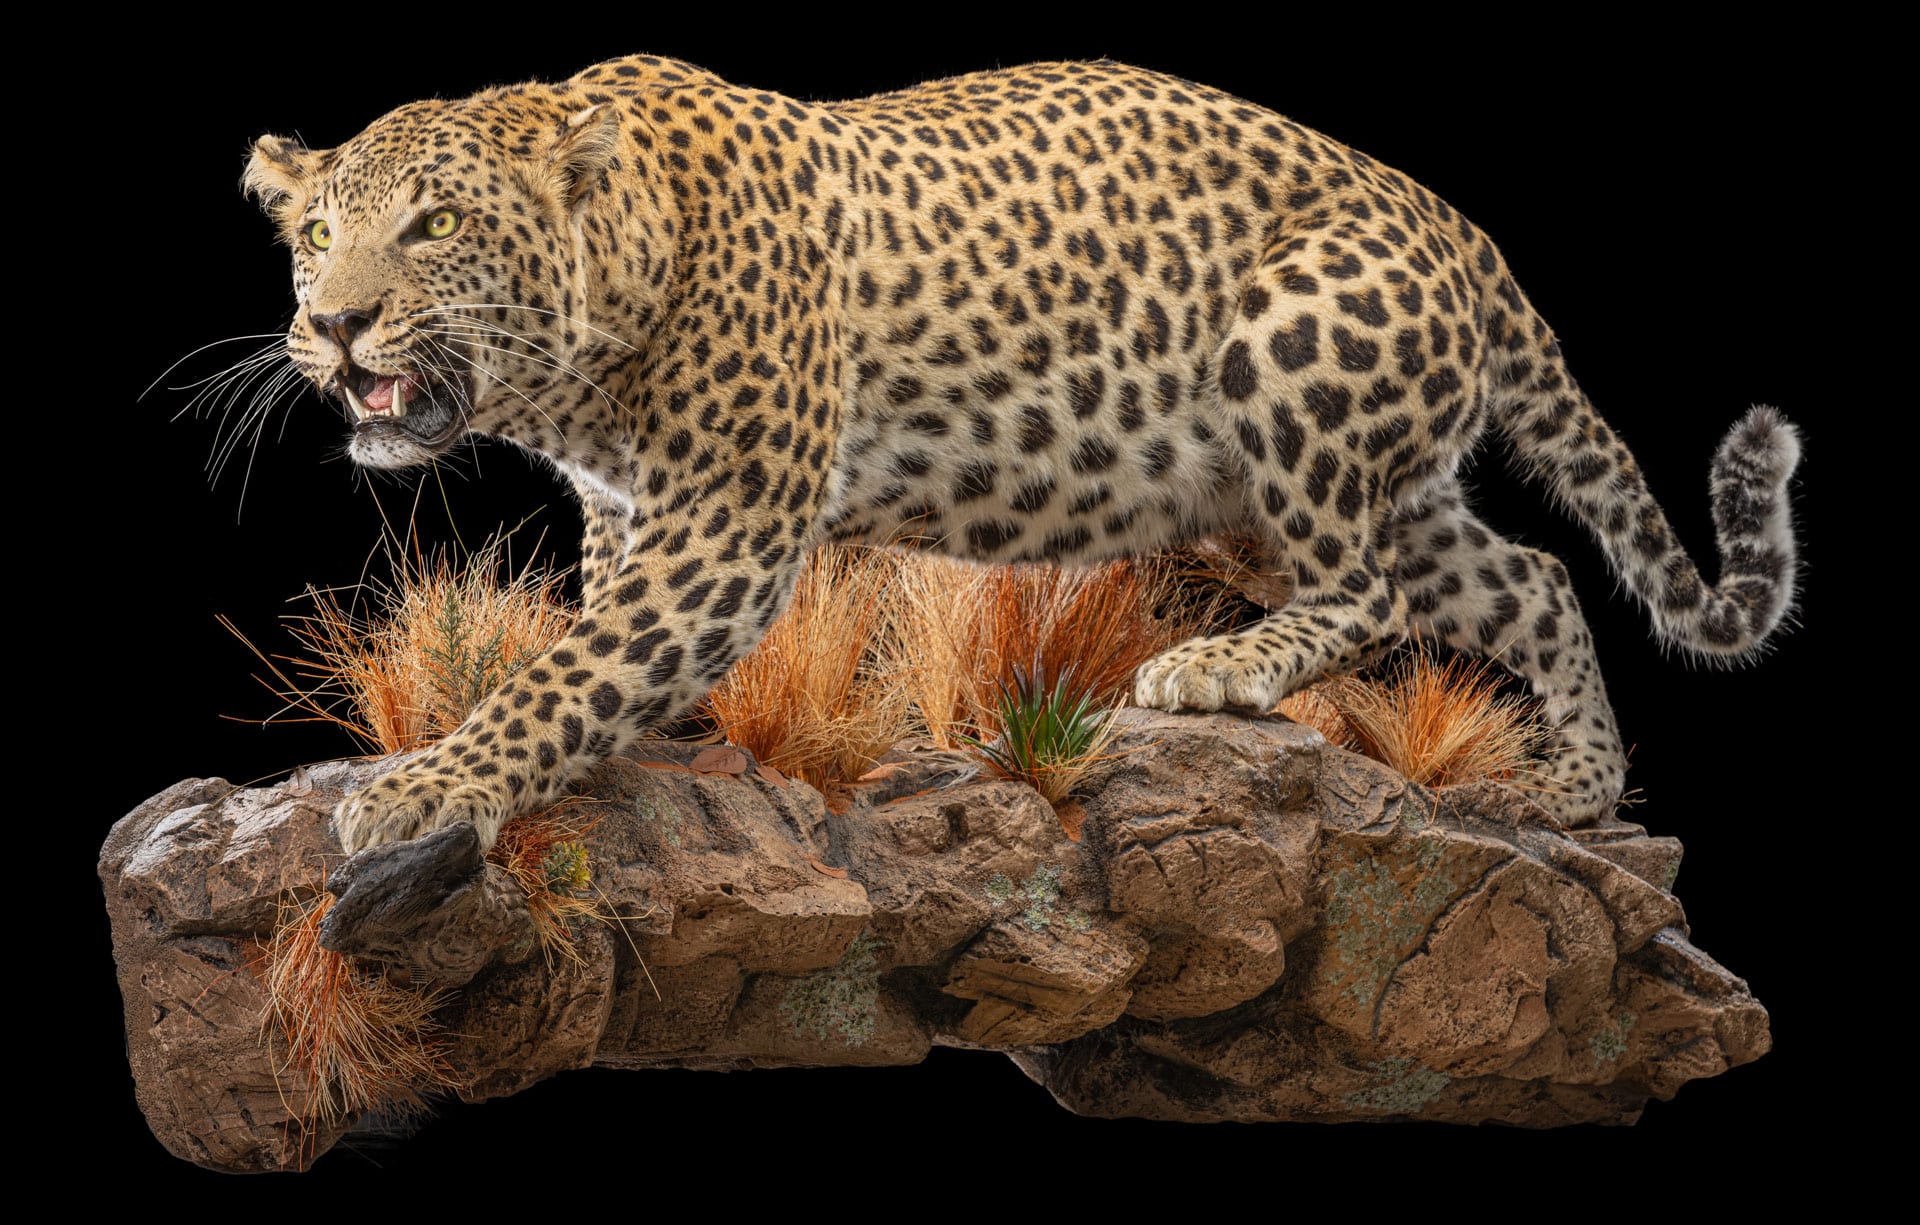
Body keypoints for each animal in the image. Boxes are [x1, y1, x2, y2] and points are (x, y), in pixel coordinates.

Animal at [238, 54, 1802, 855]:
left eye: (437, 225)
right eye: (315, 232)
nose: (336, 321)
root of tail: (1471, 237)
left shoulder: (726, 526)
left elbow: (569, 673)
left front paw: (426, 788)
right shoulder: (634, 512)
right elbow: (601, 638)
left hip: (1292, 357)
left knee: (1373, 592)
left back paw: (1219, 671)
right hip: (1322, 489)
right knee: (1529, 574)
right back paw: (1574, 791)